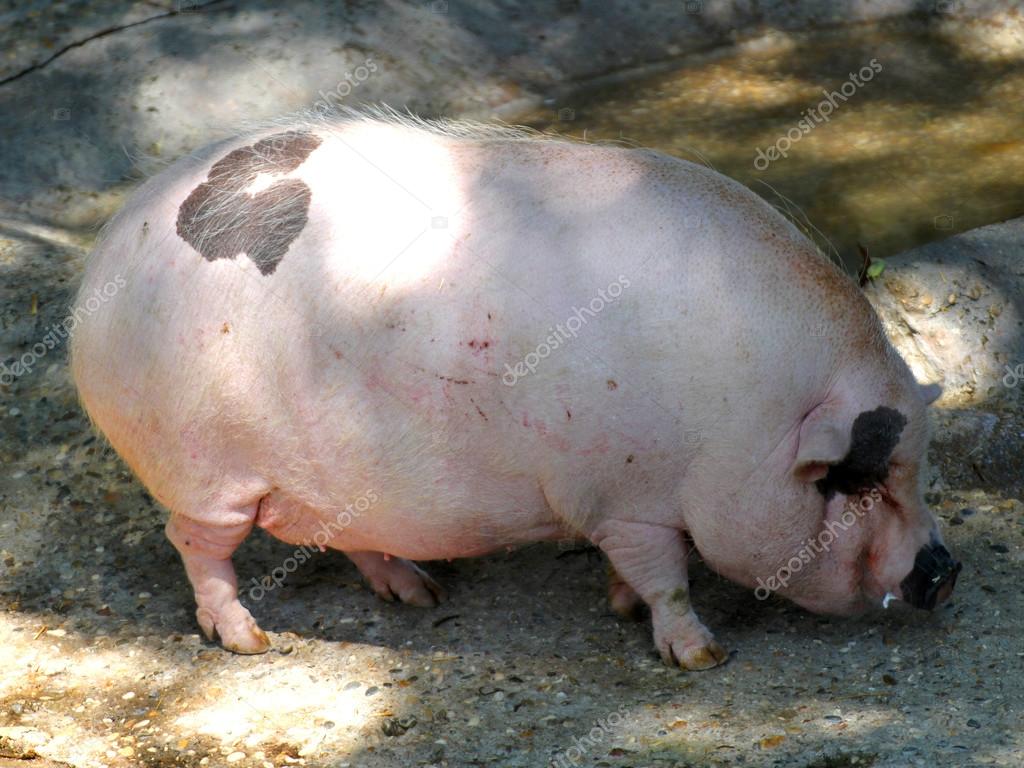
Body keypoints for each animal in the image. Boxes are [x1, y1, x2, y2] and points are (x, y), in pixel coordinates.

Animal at [69, 110, 960, 670]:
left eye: (914, 470)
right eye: (857, 480)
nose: (946, 571)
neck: (751, 423)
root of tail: (103, 264)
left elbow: (638, 574)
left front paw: (619, 609)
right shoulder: (626, 497)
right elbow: (665, 576)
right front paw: (702, 656)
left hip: (328, 475)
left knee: (346, 533)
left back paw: (419, 593)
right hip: (204, 471)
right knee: (196, 544)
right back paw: (249, 641)